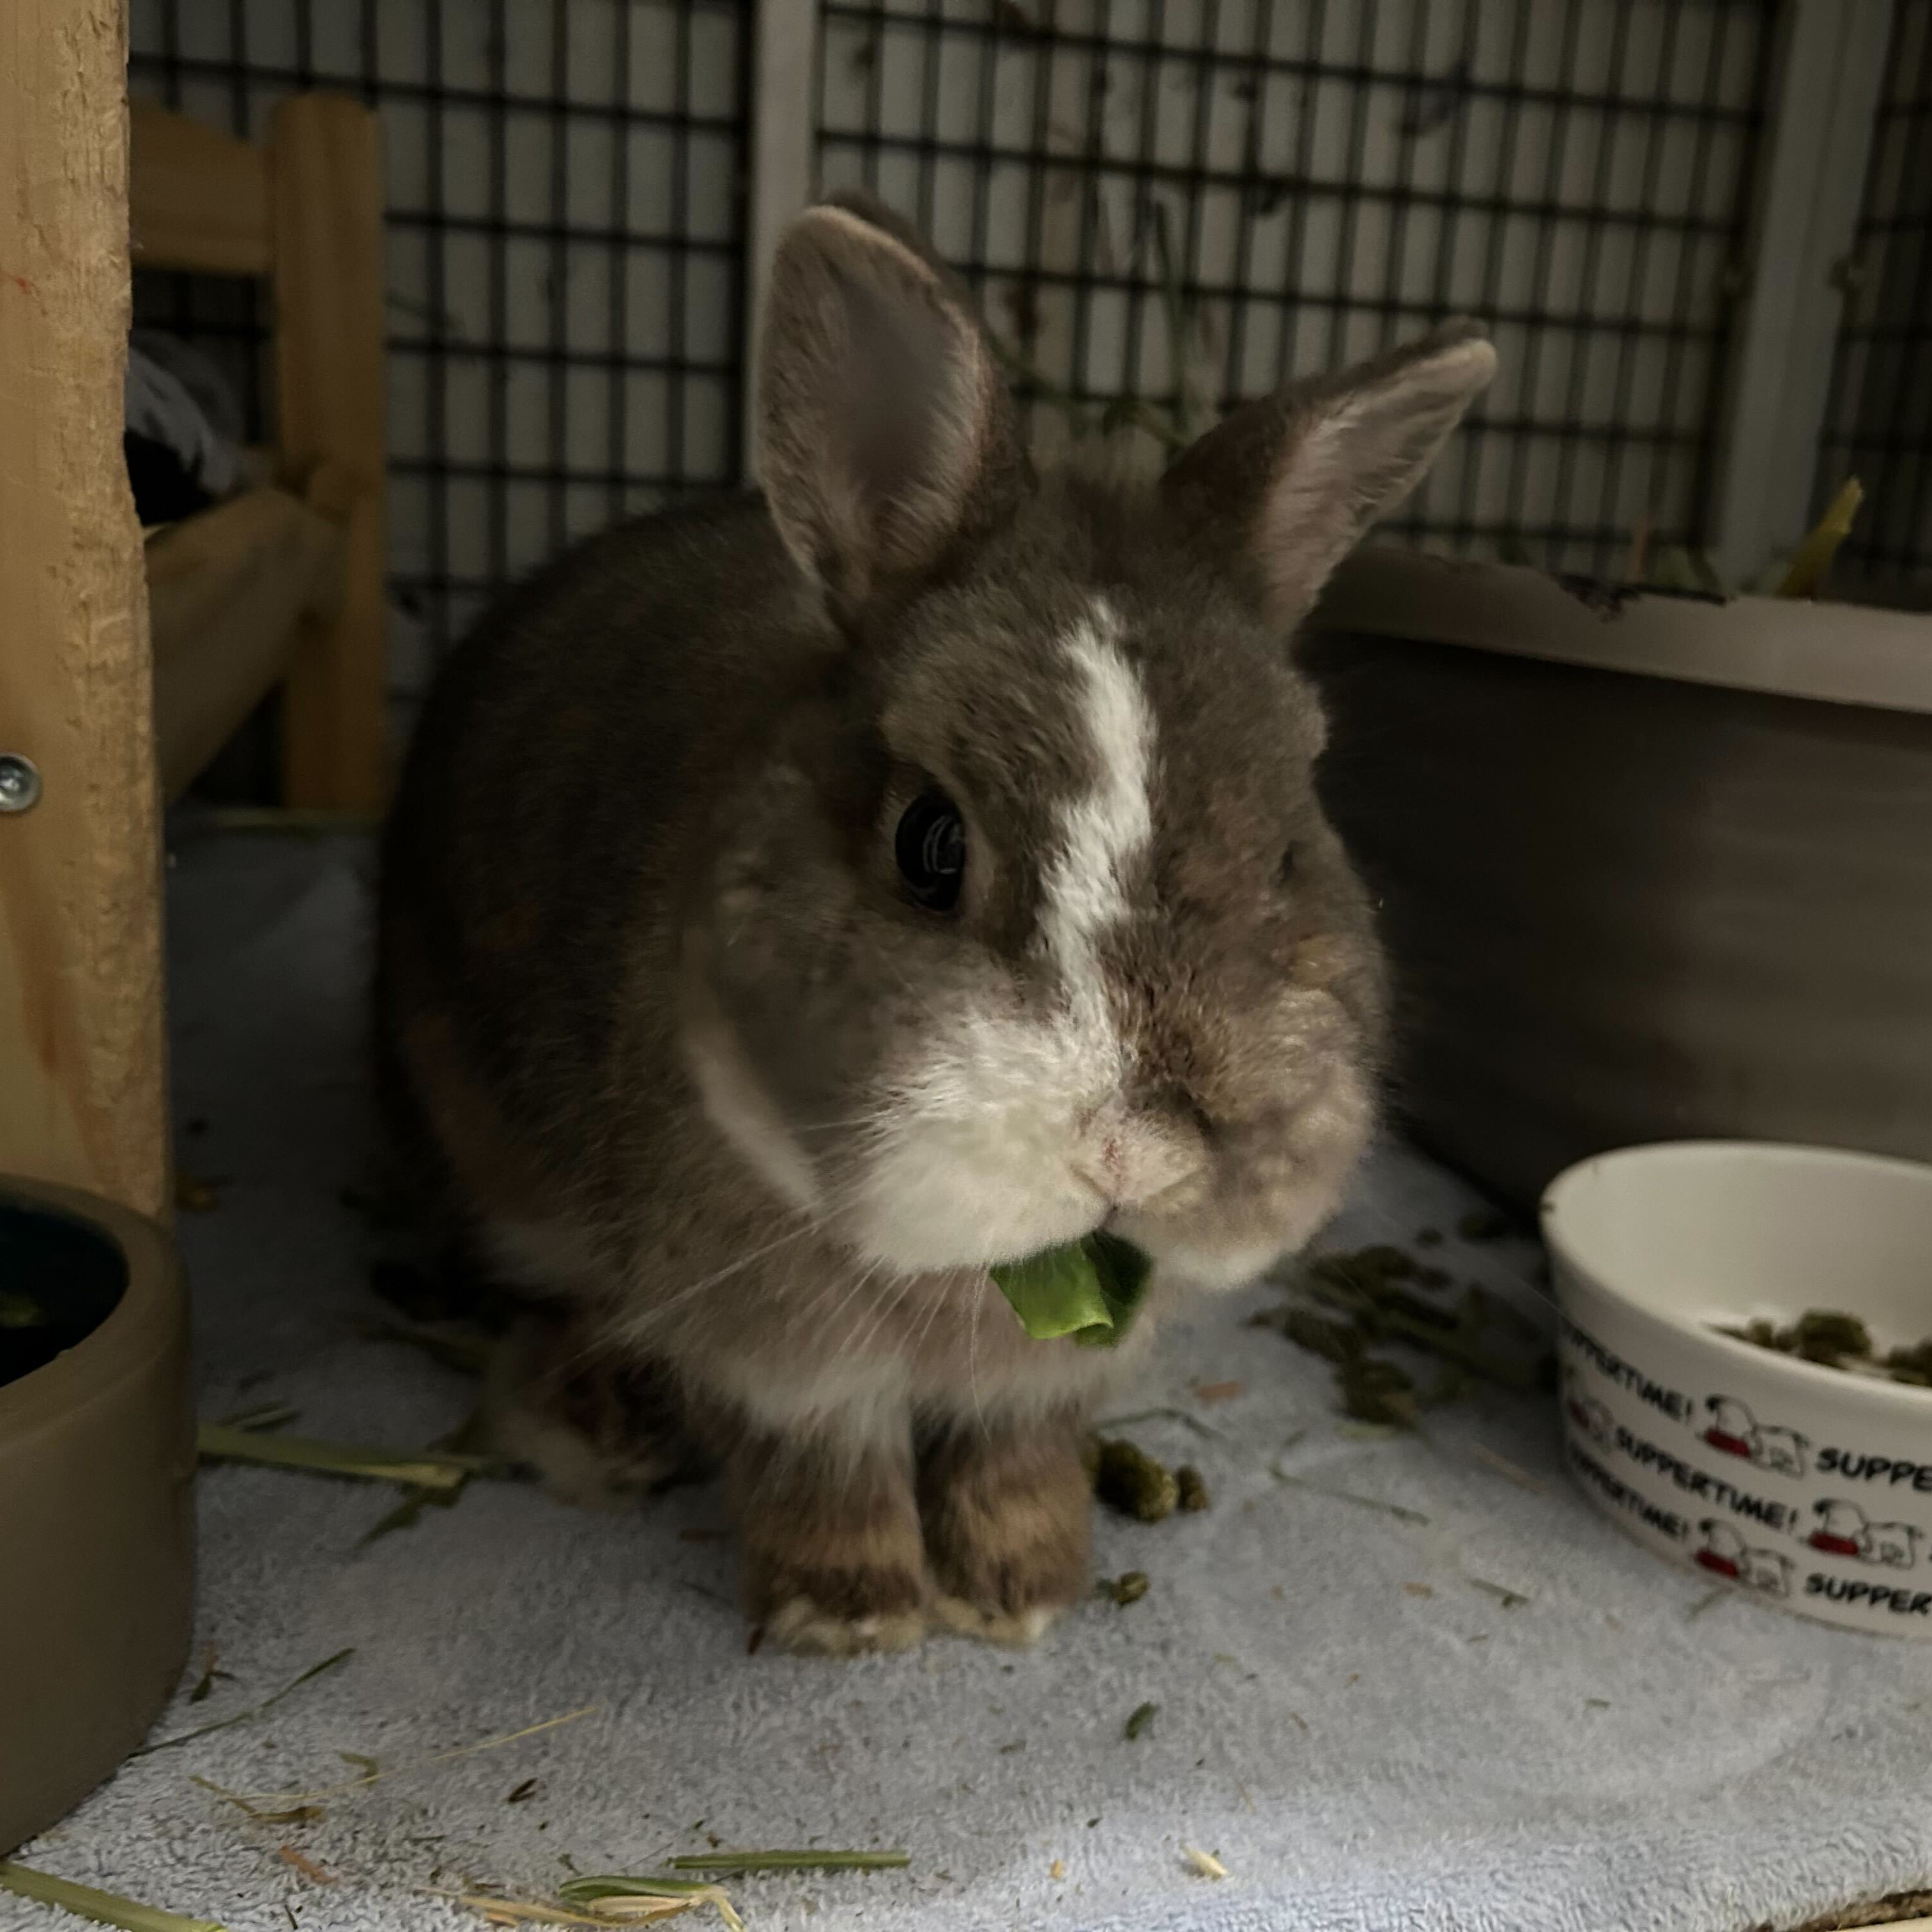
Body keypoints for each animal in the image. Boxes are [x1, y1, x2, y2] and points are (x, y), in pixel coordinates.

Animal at [376, 190, 1495, 1654]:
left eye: (1289, 847)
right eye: (929, 841)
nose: (1135, 1148)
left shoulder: (1045, 1378)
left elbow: (1012, 1451)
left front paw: (1022, 1587)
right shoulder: (769, 1345)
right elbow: (821, 1458)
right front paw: (848, 1613)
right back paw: (597, 1426)